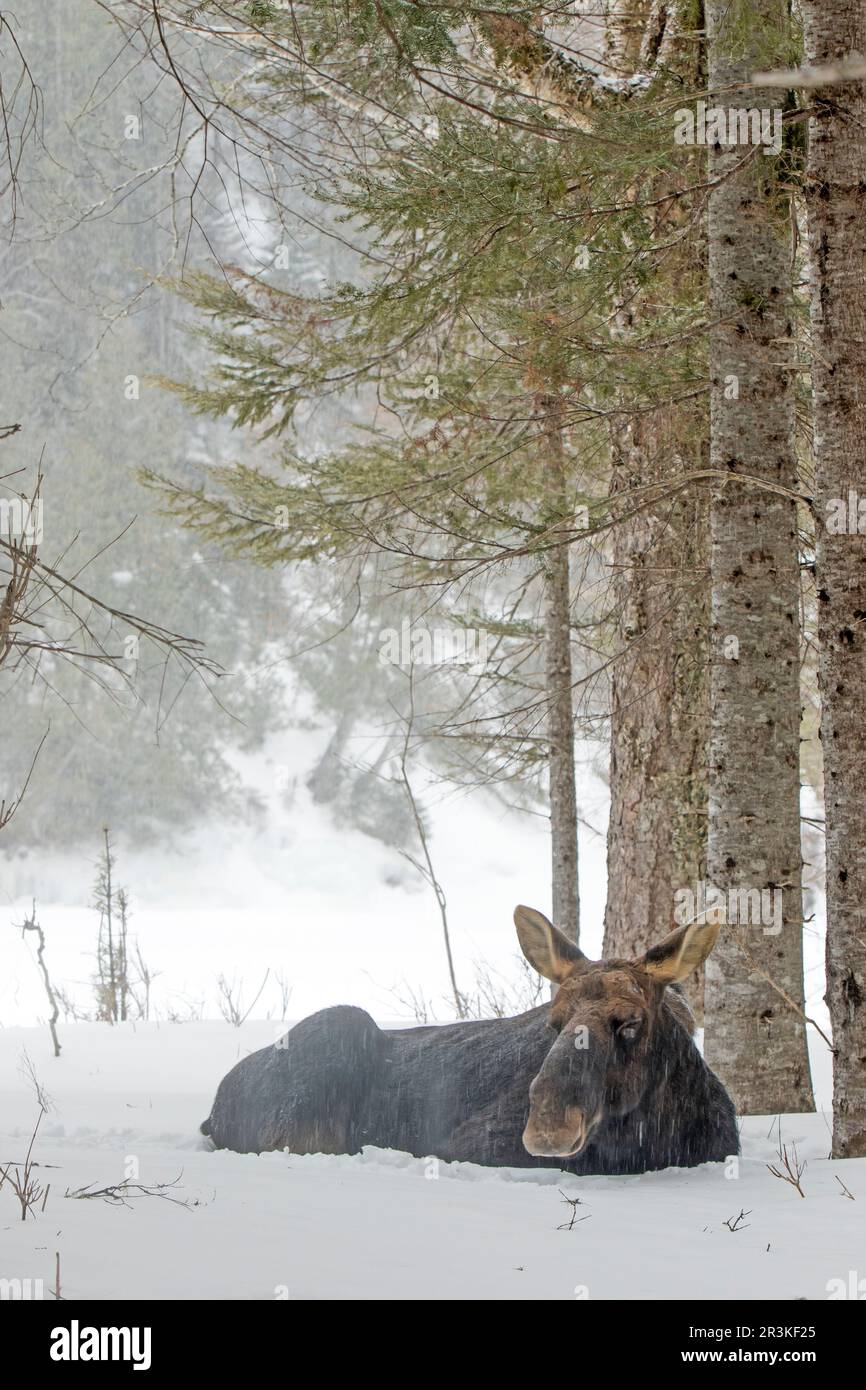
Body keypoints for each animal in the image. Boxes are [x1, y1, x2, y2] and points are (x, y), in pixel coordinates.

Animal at [200, 908, 738, 1174]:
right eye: (554, 1021)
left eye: (629, 1022)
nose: (548, 1125)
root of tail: (214, 1108)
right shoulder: (466, 1143)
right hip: (335, 1037)